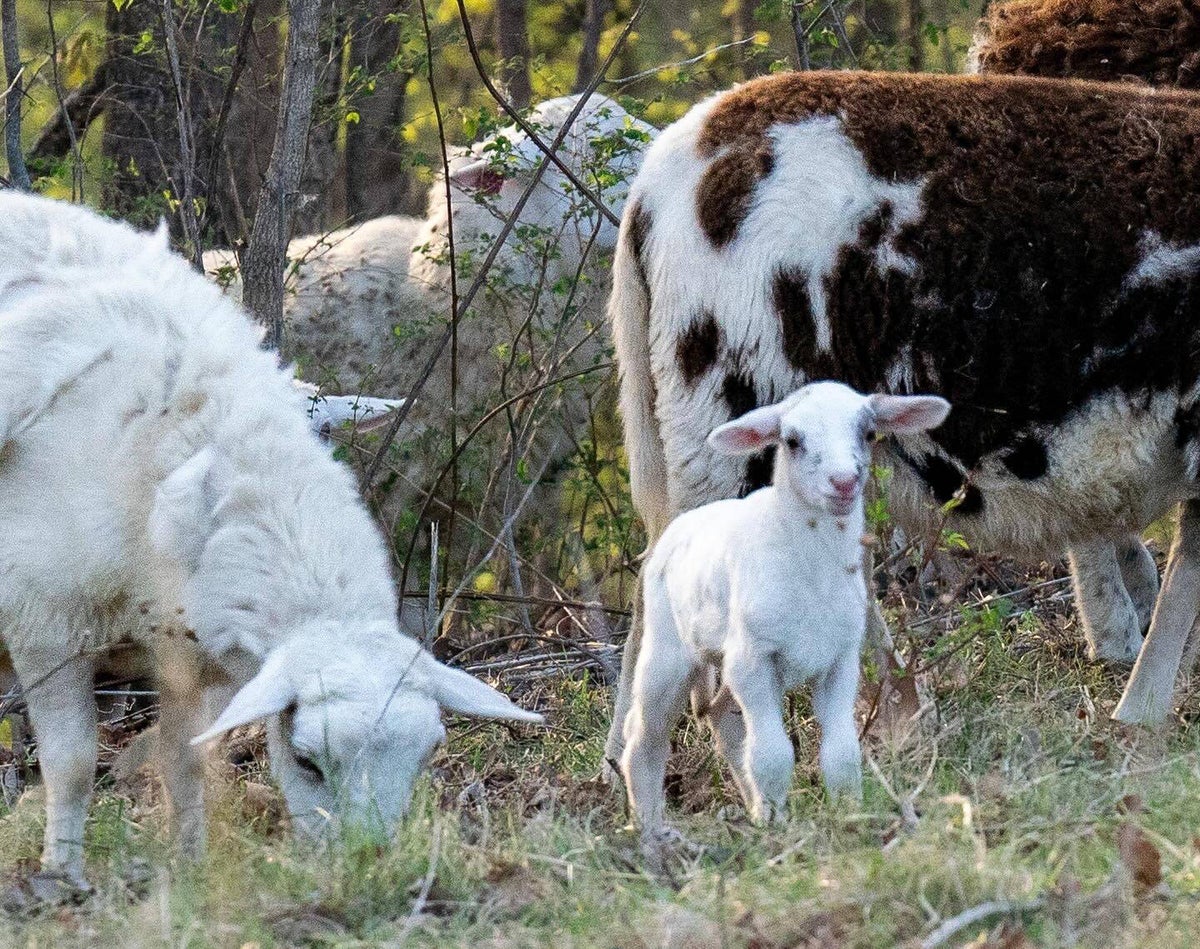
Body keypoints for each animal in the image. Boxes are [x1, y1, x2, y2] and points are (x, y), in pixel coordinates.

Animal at [0, 191, 542, 890]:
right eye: (307, 761)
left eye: (426, 756)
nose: (367, 868)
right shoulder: (45, 625)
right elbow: (71, 764)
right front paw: (64, 876)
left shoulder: (191, 661)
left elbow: (186, 764)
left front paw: (191, 869)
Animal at [621, 383, 949, 839]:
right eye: (792, 441)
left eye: (868, 433)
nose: (843, 482)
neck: (811, 569)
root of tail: (679, 524)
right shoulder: (753, 658)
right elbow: (773, 753)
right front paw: (781, 824)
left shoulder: (840, 658)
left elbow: (841, 751)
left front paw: (846, 812)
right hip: (667, 649)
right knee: (645, 739)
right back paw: (651, 829)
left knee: (722, 717)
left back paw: (753, 809)